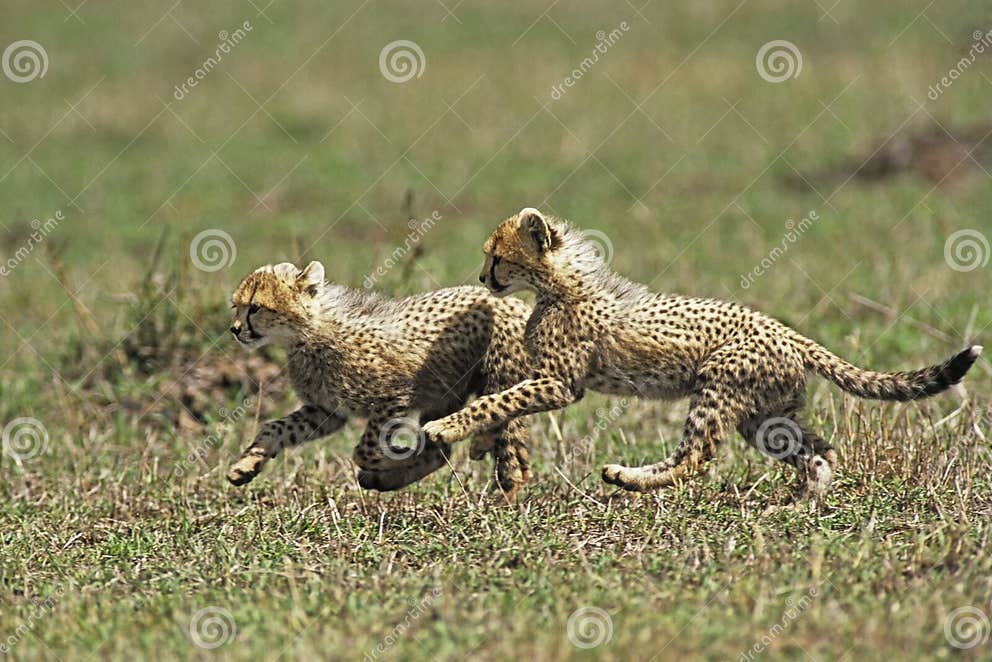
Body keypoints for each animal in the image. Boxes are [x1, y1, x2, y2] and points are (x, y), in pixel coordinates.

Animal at [225, 260, 534, 497]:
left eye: (255, 307)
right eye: (236, 307)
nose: (235, 329)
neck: (308, 335)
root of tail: (519, 304)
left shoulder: (392, 396)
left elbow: (364, 450)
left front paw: (394, 457)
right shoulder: (326, 411)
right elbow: (275, 428)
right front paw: (246, 464)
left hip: (501, 378)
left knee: (512, 456)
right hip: (446, 393)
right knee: (441, 449)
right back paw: (385, 480)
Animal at [421, 207, 983, 500]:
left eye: (497, 257)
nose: (482, 278)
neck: (561, 286)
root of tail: (786, 330)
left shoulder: (558, 384)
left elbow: (496, 401)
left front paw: (446, 428)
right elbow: (502, 404)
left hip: (719, 386)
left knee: (695, 455)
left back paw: (628, 477)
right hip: (764, 415)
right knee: (818, 453)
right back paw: (798, 505)